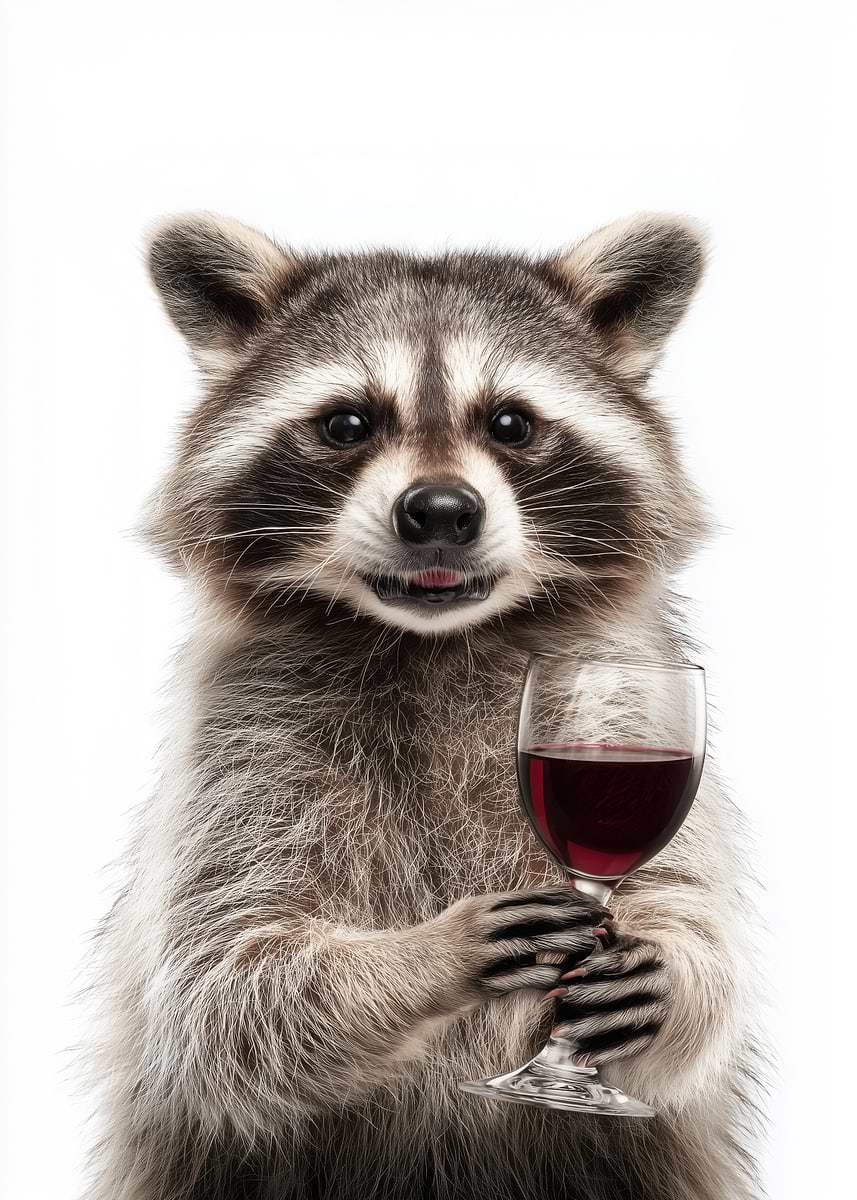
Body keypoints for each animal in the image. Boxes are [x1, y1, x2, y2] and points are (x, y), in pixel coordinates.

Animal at [80, 212, 761, 1200]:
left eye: (511, 422)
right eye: (347, 422)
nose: (440, 510)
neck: (431, 639)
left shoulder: (627, 699)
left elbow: (687, 914)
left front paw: (671, 974)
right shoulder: (236, 753)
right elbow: (224, 988)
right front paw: (423, 955)